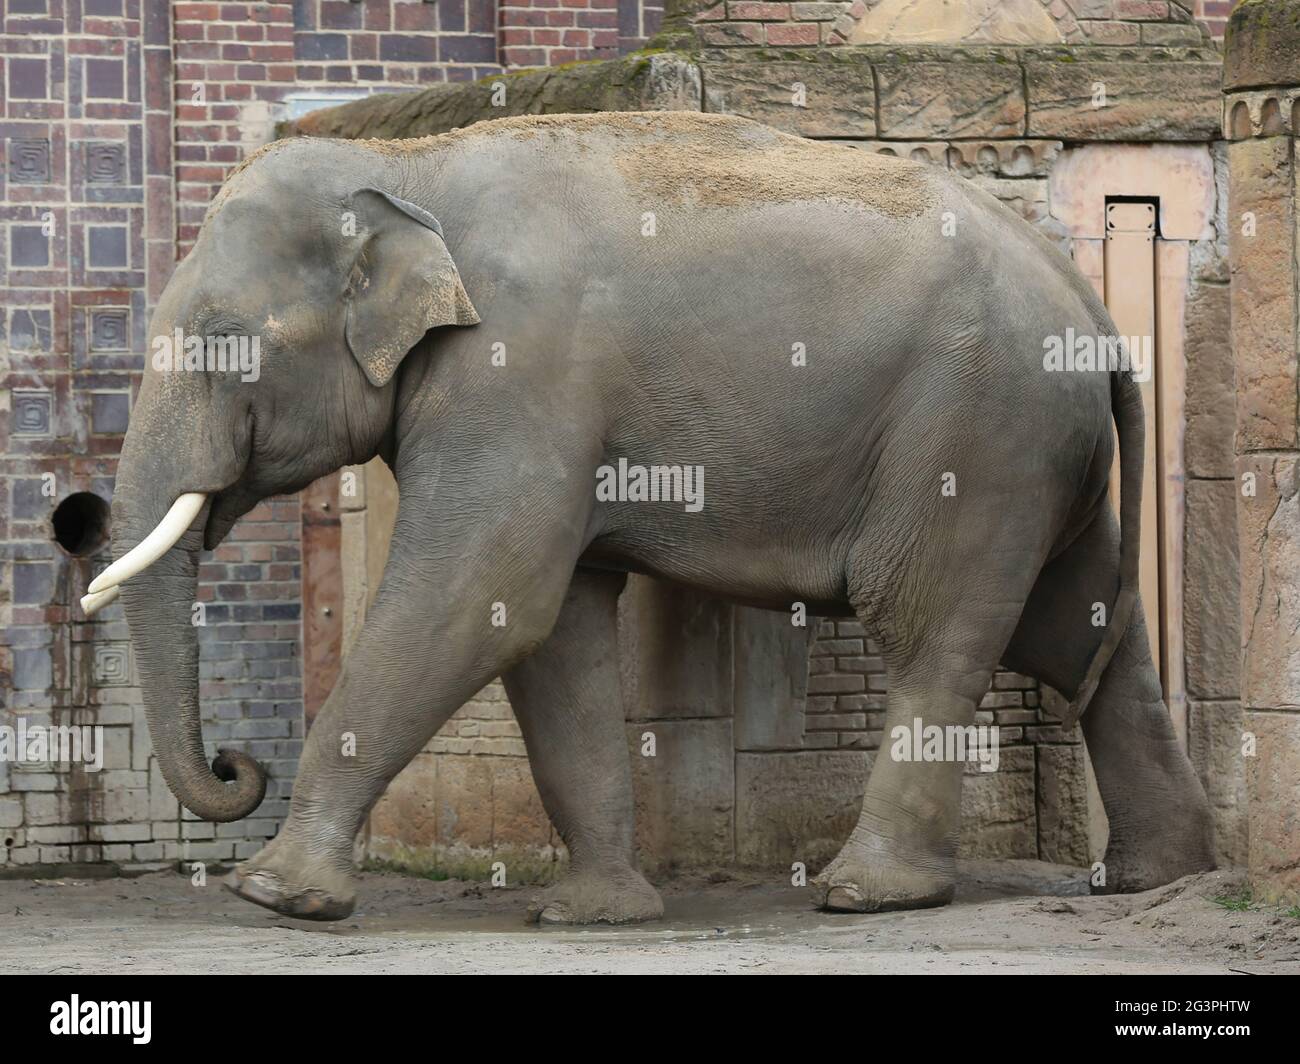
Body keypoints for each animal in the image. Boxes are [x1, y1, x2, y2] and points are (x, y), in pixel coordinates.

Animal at [84, 111, 1216, 924]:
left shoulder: (518, 371)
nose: (236, 767)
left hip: (975, 435)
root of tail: (1088, 300)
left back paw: (867, 893)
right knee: (1076, 628)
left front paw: (275, 895)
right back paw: (1156, 874)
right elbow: (550, 628)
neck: (409, 162)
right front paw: (591, 915)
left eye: (224, 339)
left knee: (931, 627)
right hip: (1035, 450)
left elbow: (478, 592)